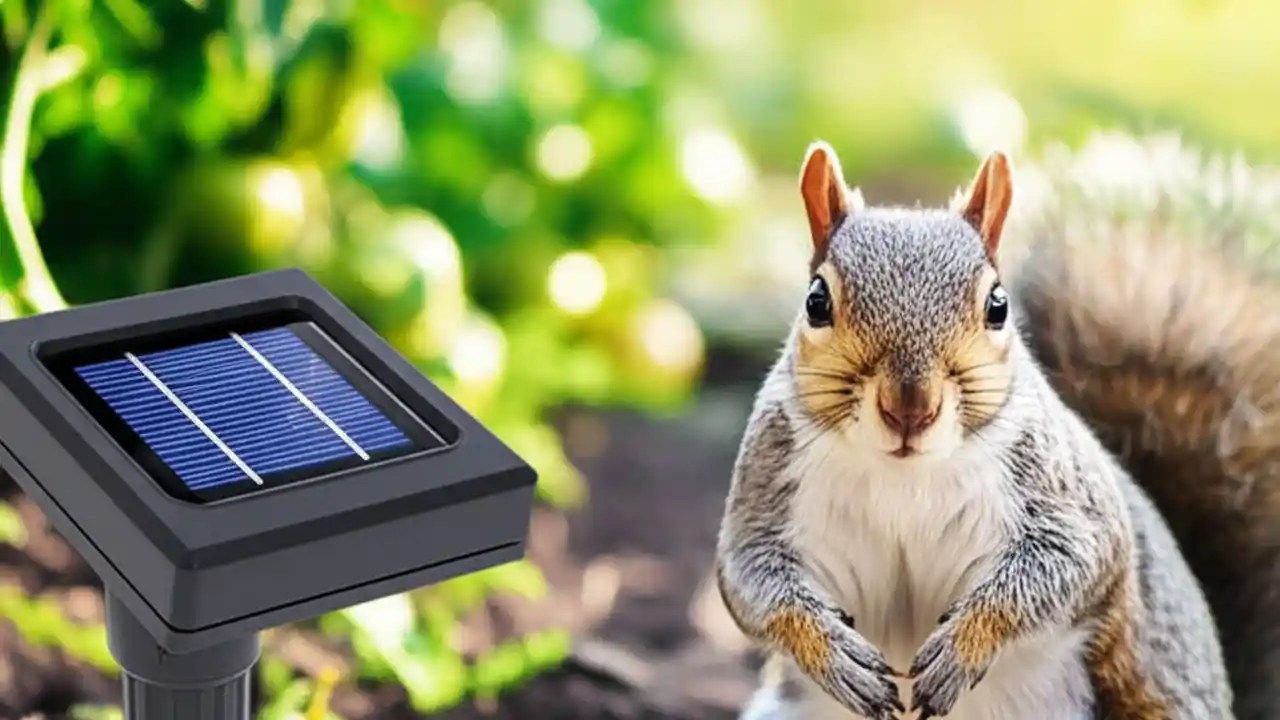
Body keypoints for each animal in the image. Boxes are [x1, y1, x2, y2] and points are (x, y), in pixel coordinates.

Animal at [715, 135, 1280, 719]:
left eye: (998, 306)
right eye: (816, 301)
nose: (910, 408)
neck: (903, 476)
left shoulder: (1063, 496)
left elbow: (1064, 564)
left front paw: (965, 645)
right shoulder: (766, 483)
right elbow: (752, 579)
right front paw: (830, 651)